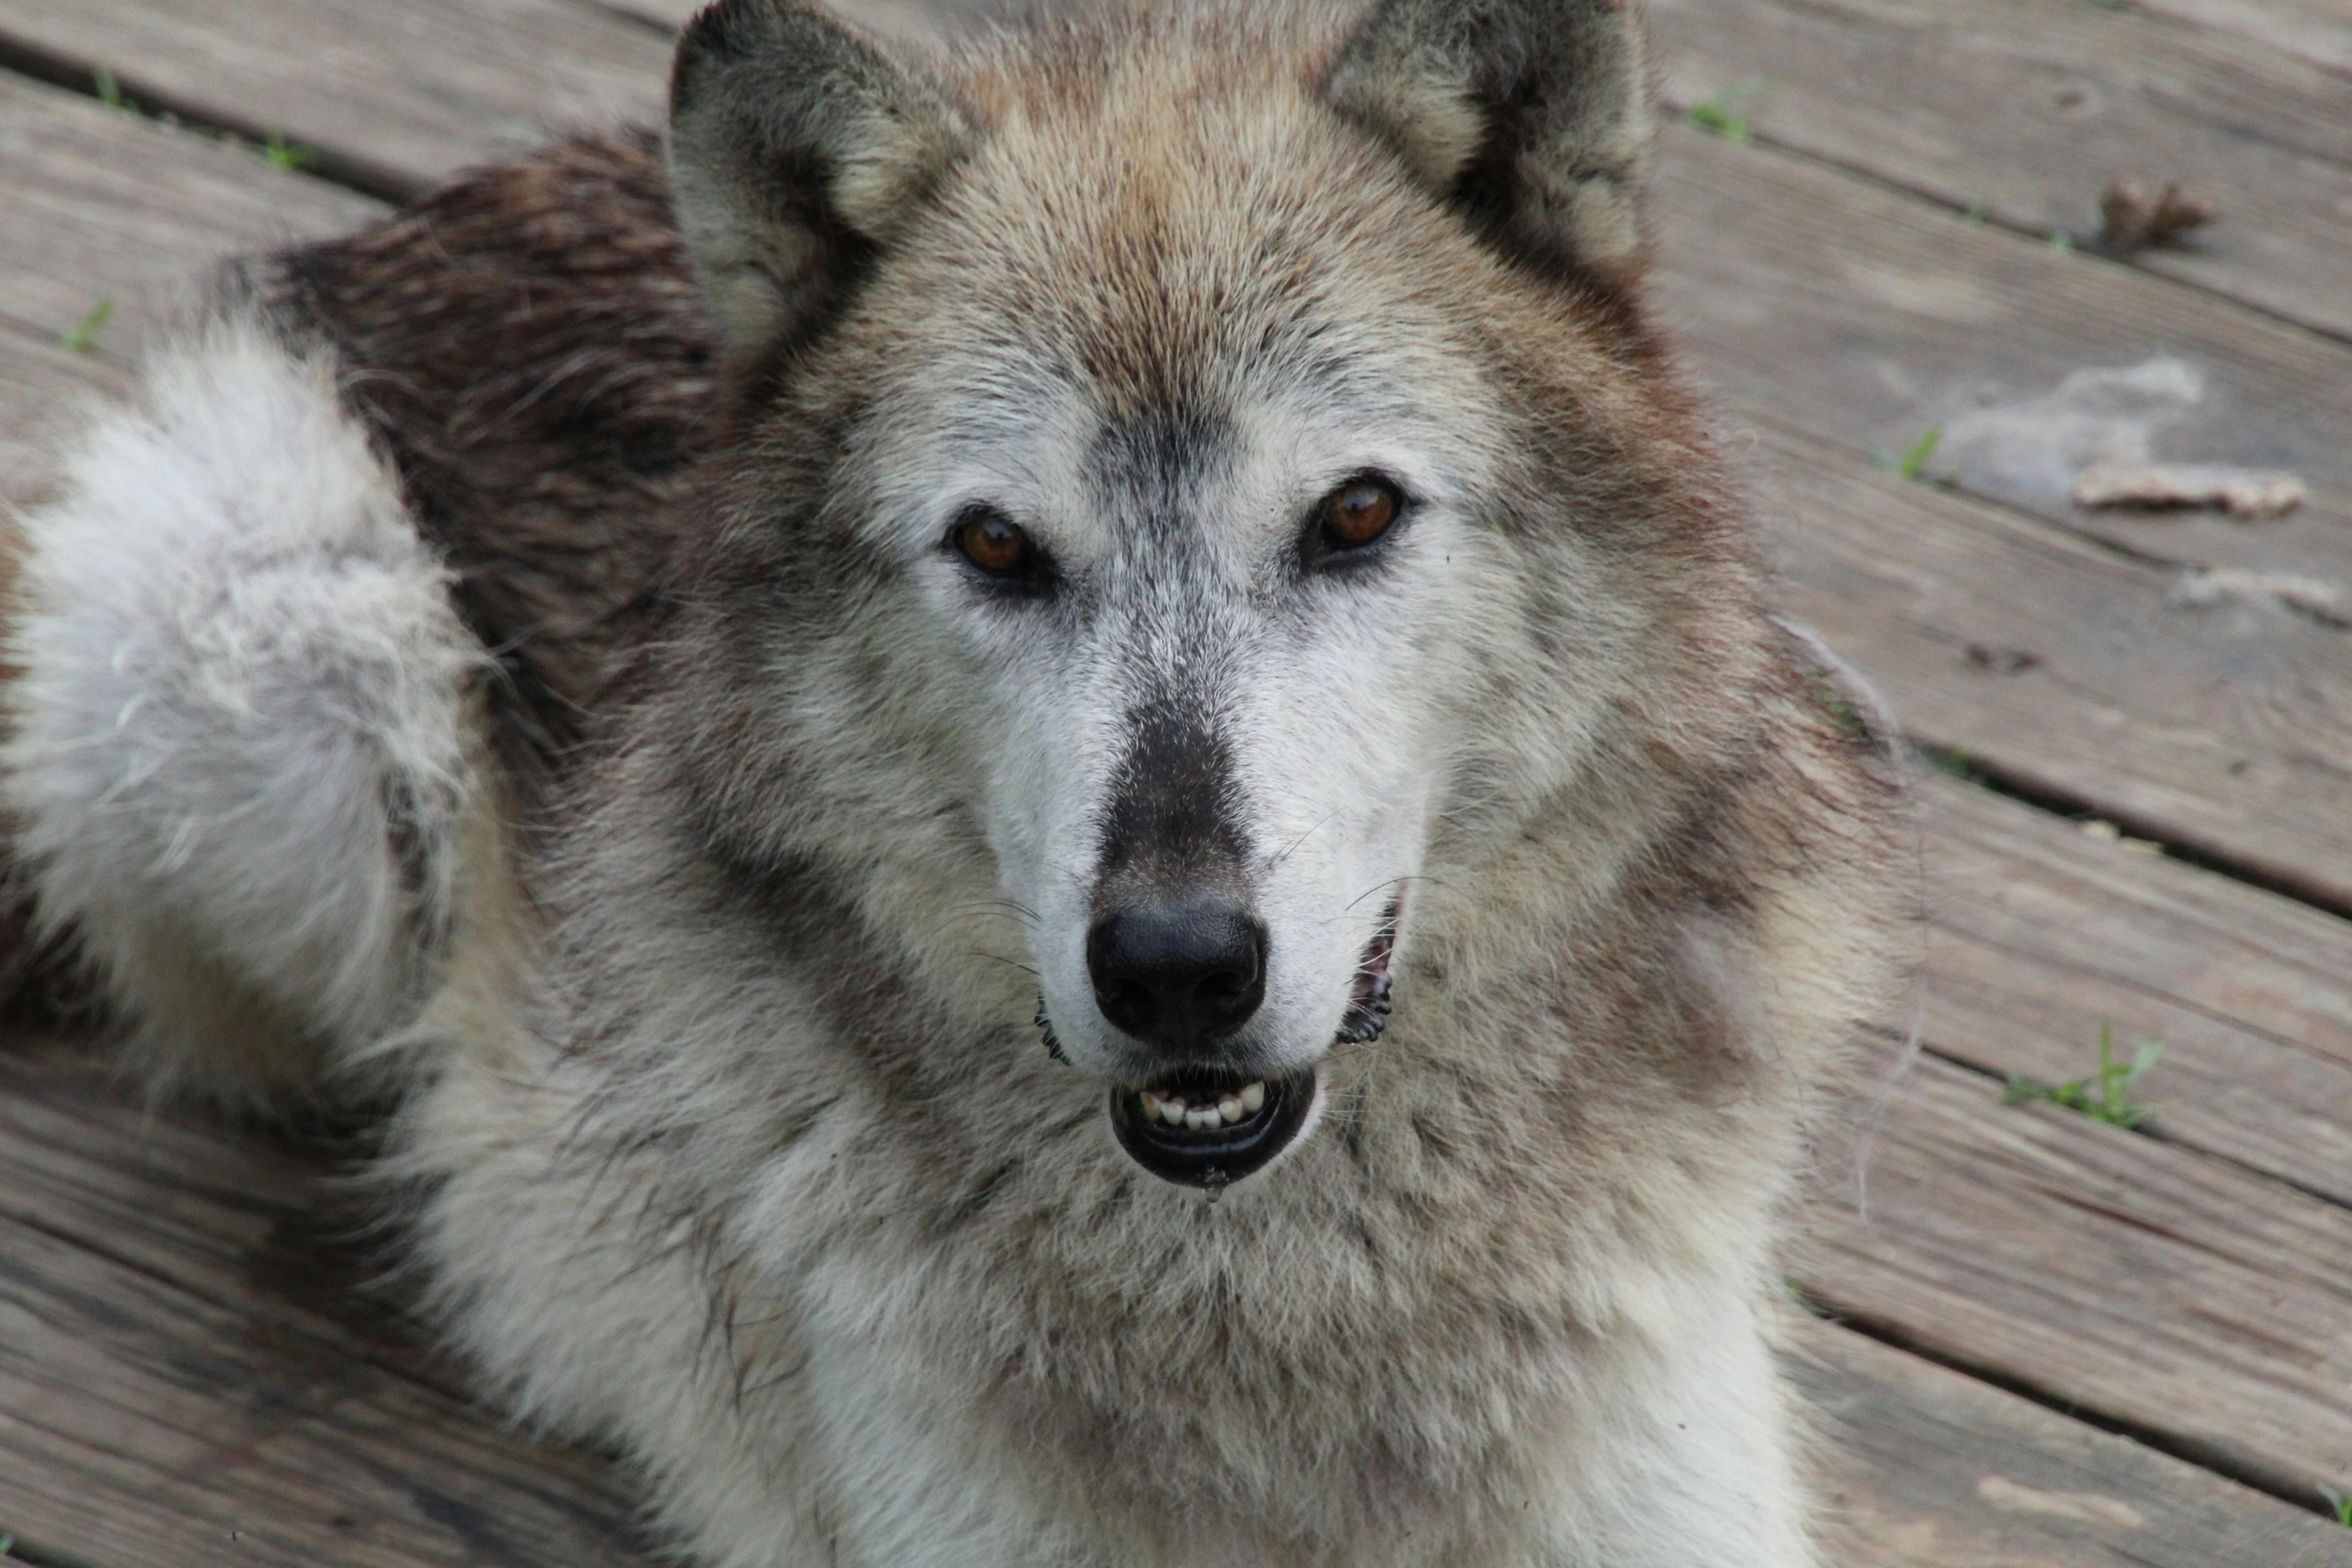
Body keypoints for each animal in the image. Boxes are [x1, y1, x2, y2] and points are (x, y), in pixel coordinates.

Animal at [1, 0, 1907, 1562]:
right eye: (997, 546)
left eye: (1355, 513)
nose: (1175, 966)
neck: (1278, 1296)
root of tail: (450, 197)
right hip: (282, 642)